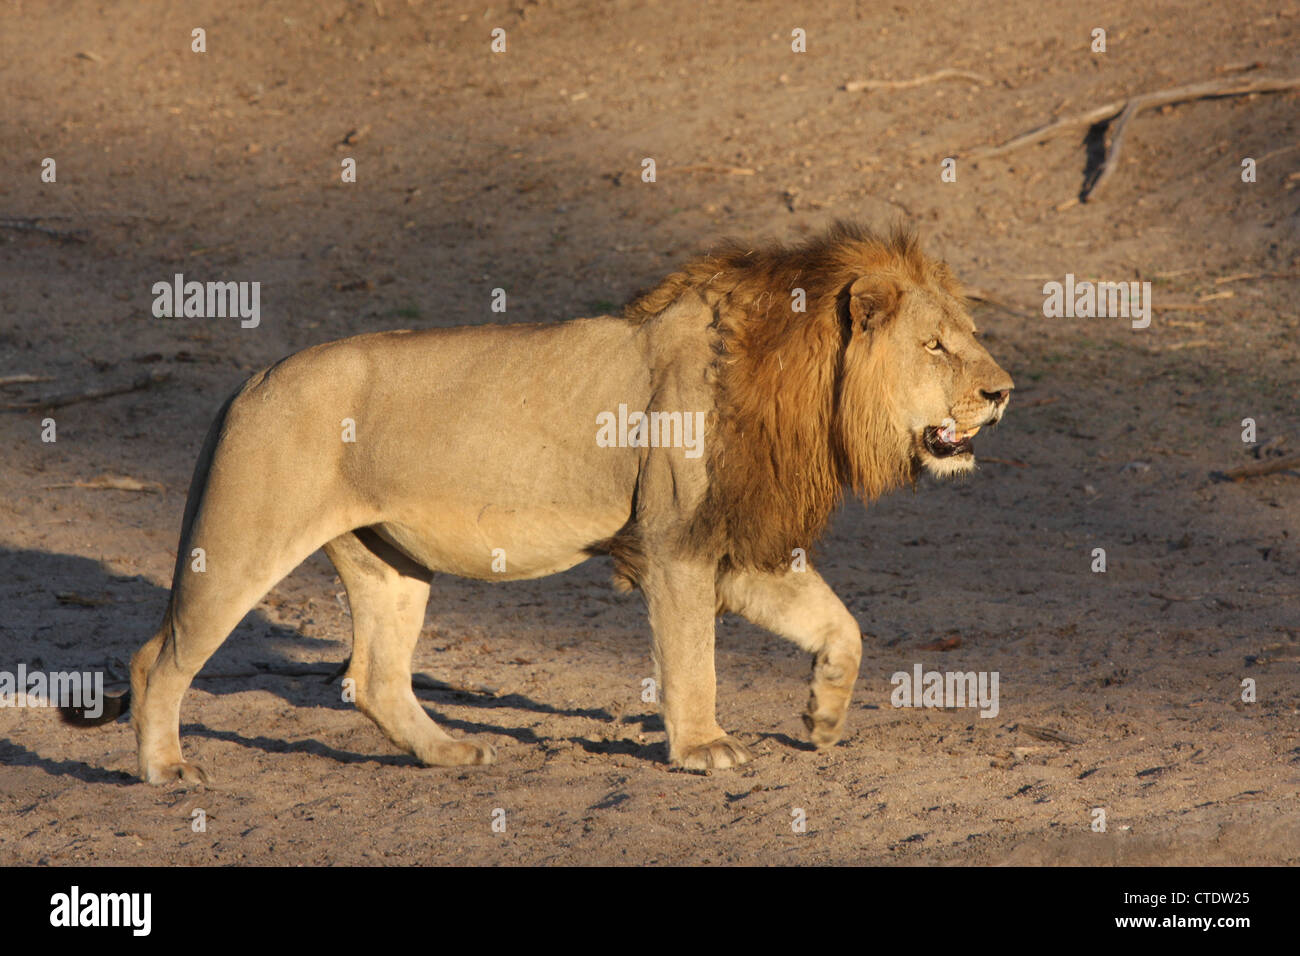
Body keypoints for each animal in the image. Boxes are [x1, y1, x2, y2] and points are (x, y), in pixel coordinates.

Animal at [67, 222, 1013, 784]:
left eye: (969, 338)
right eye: (935, 347)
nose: (1004, 392)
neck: (806, 384)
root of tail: (251, 378)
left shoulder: (735, 547)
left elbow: (842, 627)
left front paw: (820, 719)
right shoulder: (675, 544)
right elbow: (693, 664)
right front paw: (702, 748)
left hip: (388, 560)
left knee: (375, 678)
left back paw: (450, 752)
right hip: (240, 545)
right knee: (158, 659)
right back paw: (166, 771)